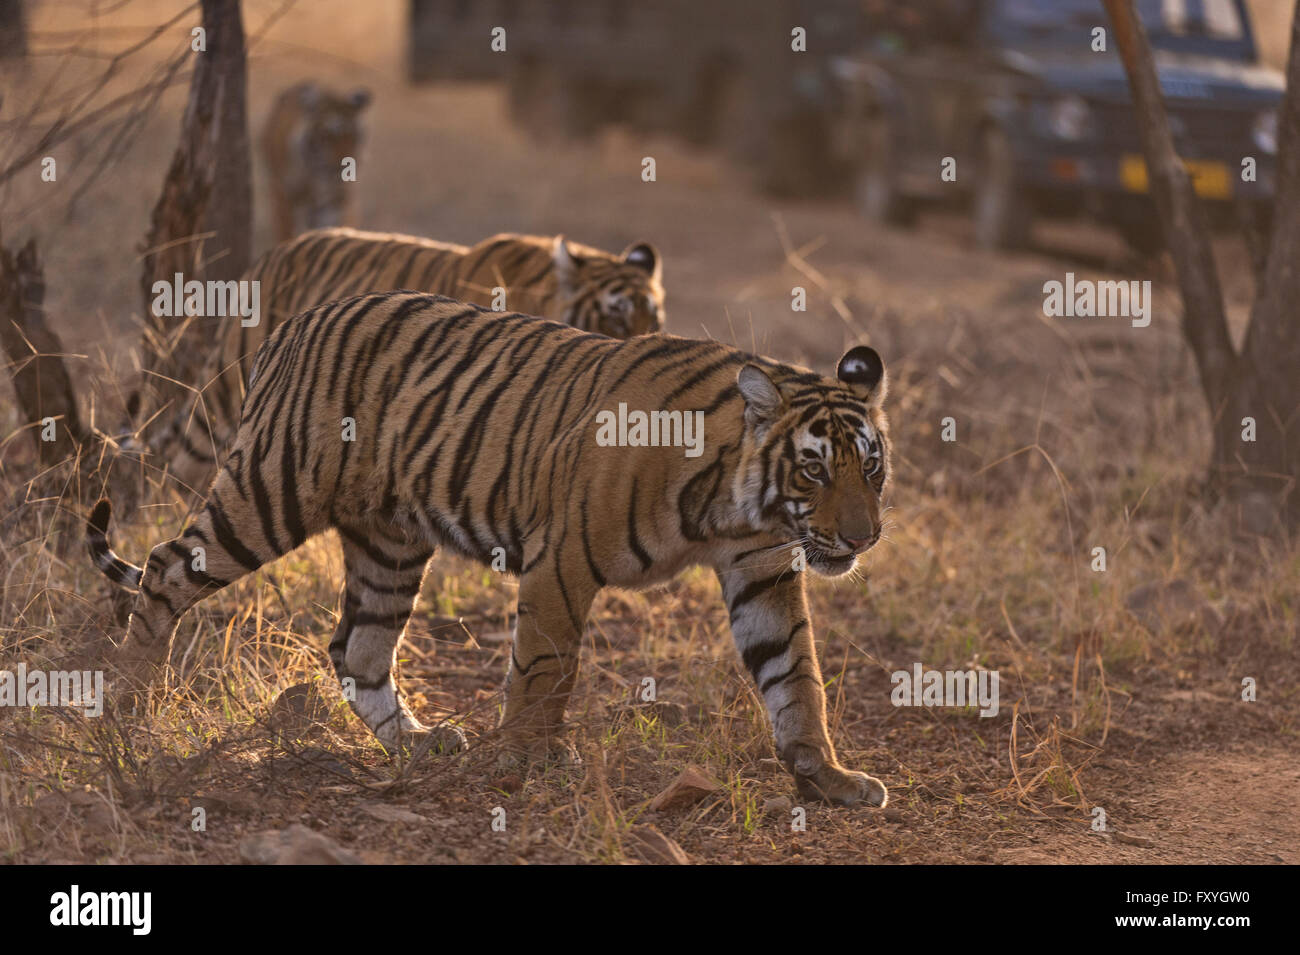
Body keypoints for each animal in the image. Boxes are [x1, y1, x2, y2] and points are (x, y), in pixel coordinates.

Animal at [89, 291, 890, 808]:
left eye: (871, 467)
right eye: (814, 469)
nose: (863, 537)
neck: (734, 504)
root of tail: (295, 322)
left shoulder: (763, 573)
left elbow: (796, 676)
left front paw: (827, 777)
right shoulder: (563, 559)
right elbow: (545, 667)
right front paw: (529, 759)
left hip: (391, 542)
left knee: (358, 647)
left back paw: (417, 744)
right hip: (271, 492)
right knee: (164, 568)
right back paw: (126, 708)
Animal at [262, 82, 371, 243]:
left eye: (352, 136)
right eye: (328, 136)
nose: (347, 164)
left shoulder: (340, 199)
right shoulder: (283, 193)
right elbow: (286, 232)